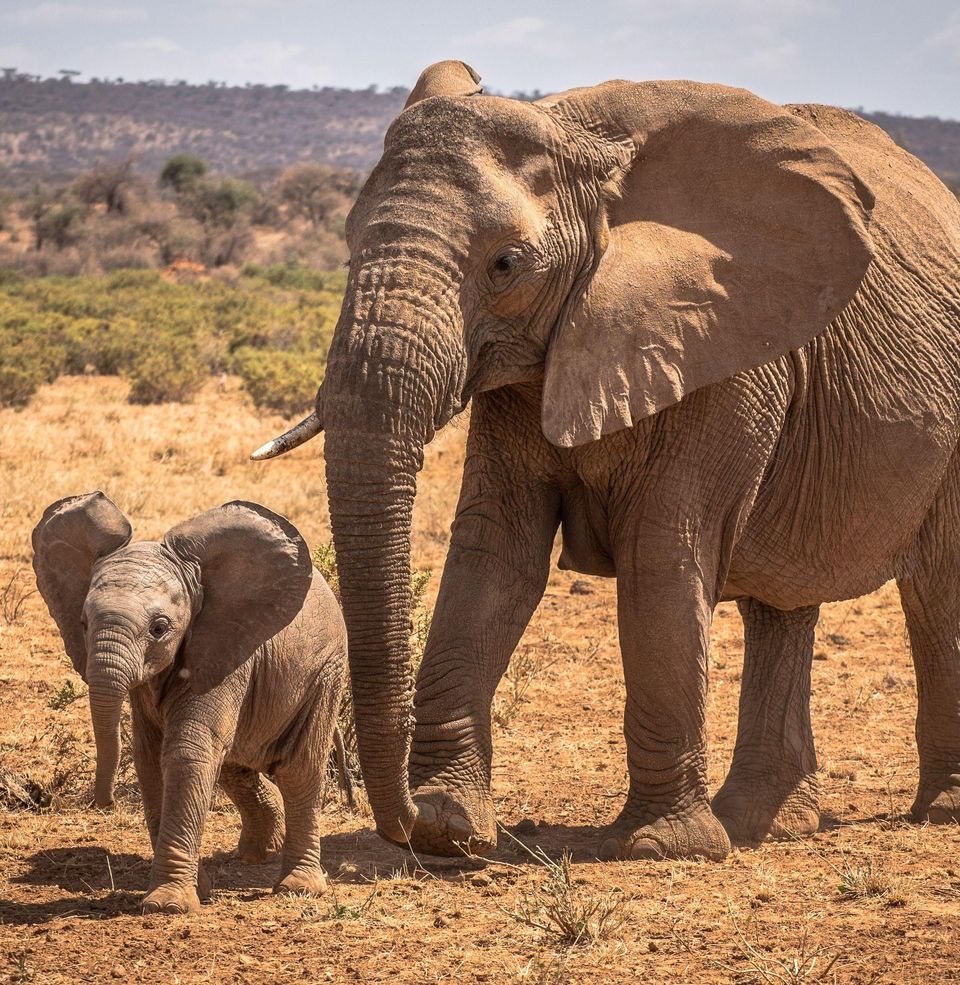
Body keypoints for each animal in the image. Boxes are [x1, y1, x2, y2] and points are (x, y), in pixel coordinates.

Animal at [32, 493, 349, 913]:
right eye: (83, 623)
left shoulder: (223, 647)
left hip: (325, 671)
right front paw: (197, 890)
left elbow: (186, 751)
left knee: (300, 768)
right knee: (234, 763)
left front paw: (167, 905)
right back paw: (259, 853)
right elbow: (151, 760)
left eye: (159, 629)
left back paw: (297, 887)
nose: (104, 802)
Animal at [254, 61, 960, 863]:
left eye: (506, 264)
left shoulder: (725, 350)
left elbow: (660, 556)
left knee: (937, 586)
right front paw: (453, 825)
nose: (406, 820)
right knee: (780, 602)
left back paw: (934, 811)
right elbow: (495, 552)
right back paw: (764, 825)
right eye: (346, 247)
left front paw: (663, 846)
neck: (580, 139)